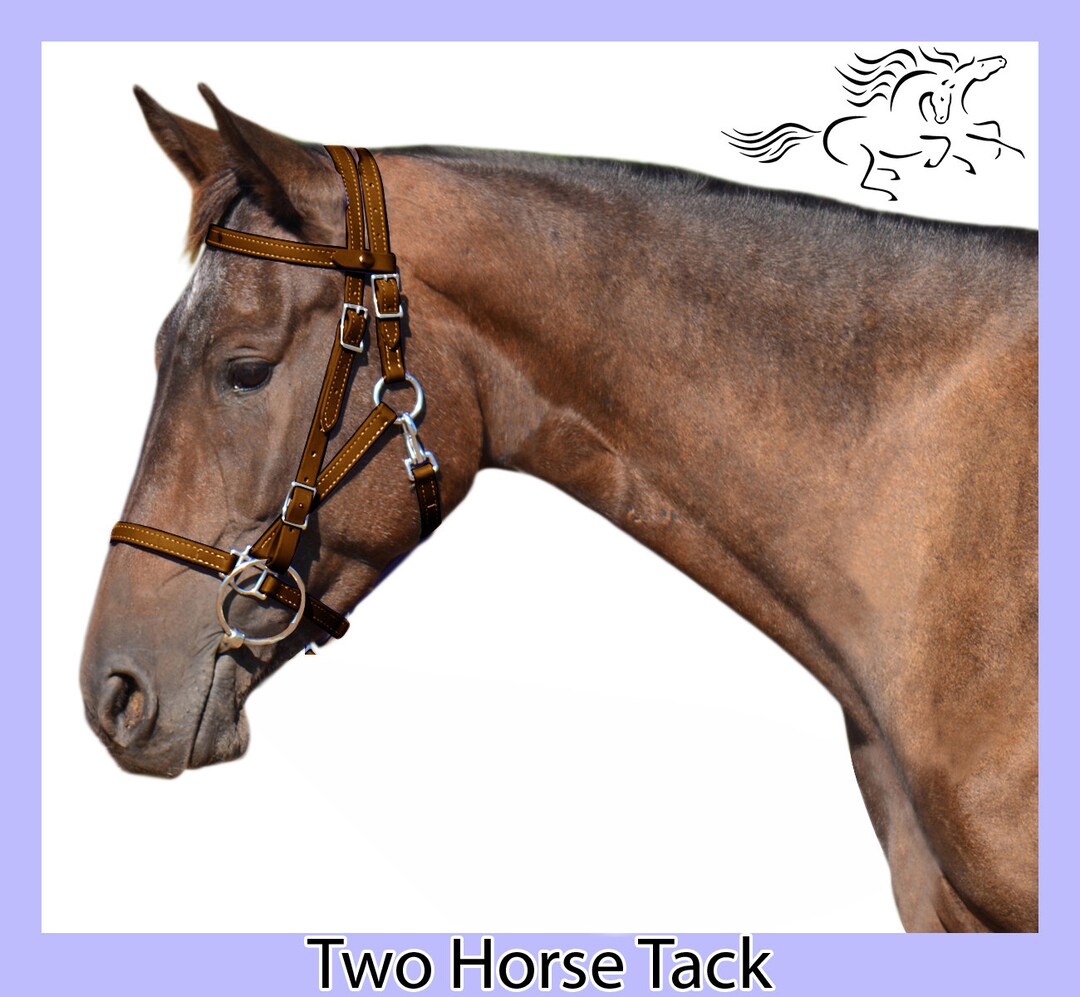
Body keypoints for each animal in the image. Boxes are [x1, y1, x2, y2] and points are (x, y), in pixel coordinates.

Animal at [724, 47, 1023, 200]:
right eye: (940, 96)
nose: (1002, 59)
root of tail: (823, 132)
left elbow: (984, 132)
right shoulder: (931, 138)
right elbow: (948, 142)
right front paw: (938, 162)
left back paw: (892, 173)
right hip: (862, 155)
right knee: (865, 181)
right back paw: (889, 188)